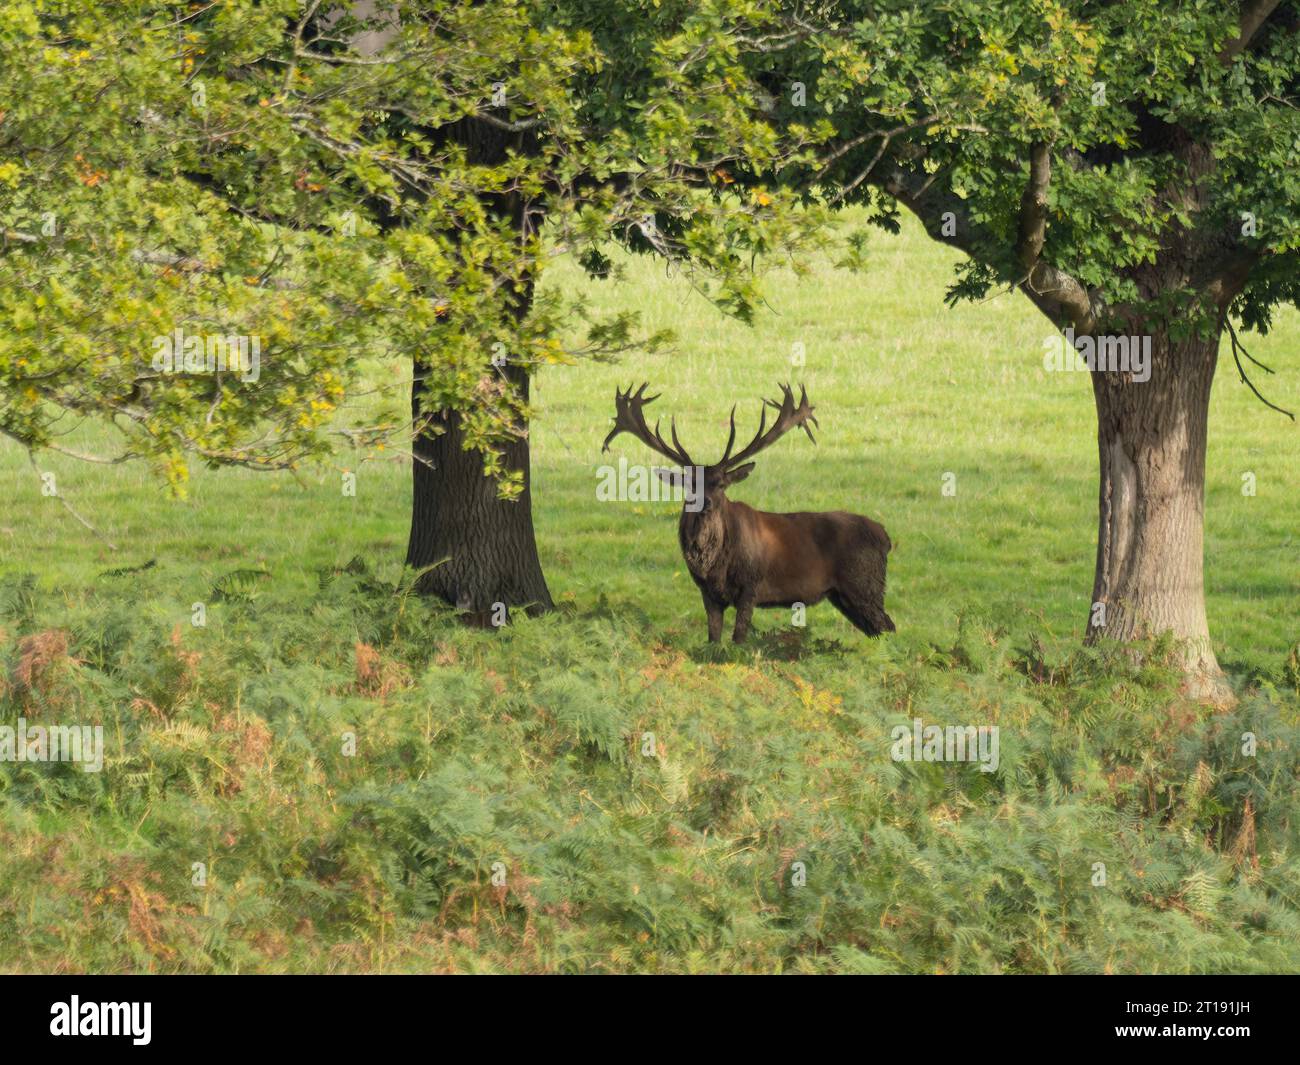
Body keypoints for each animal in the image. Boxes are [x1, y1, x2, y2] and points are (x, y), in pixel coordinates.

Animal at [602, 383, 895, 643]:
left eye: (721, 483)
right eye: (690, 483)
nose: (705, 502)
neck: (714, 567)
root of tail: (885, 536)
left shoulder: (751, 586)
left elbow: (739, 638)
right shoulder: (707, 593)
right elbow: (713, 639)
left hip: (865, 583)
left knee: (888, 626)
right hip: (843, 594)